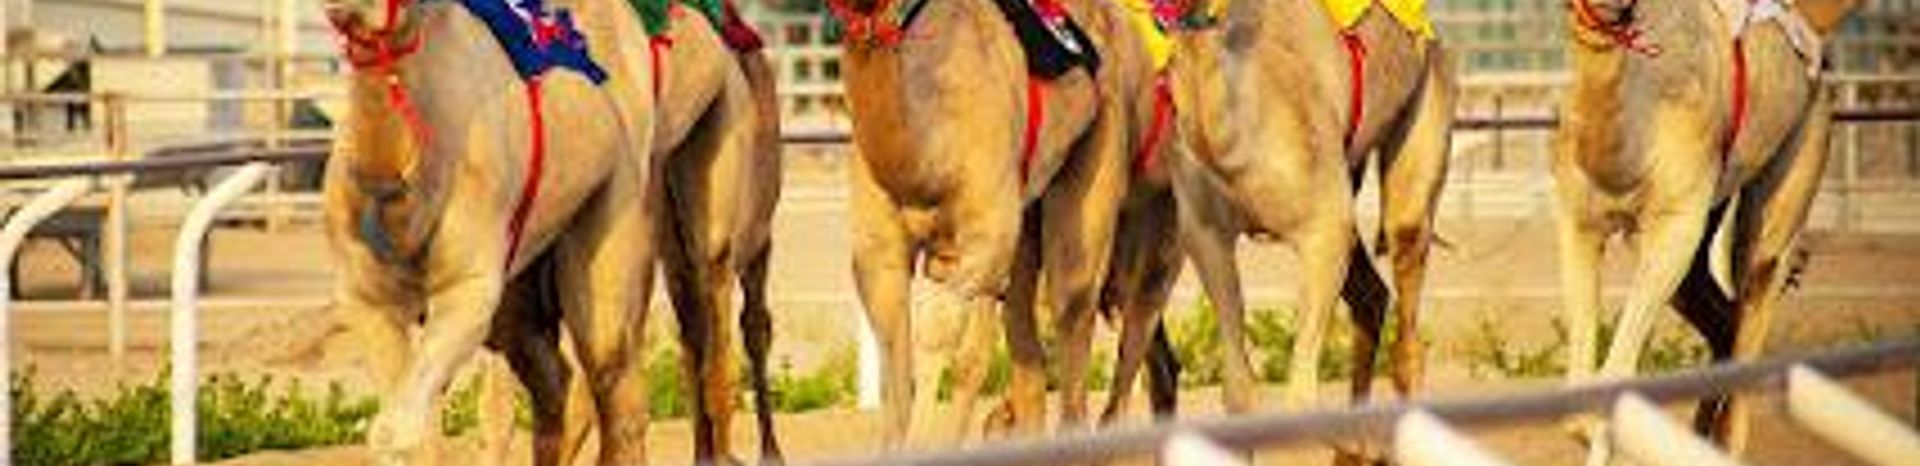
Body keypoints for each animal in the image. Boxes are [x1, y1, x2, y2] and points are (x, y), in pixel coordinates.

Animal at [320, 0, 657, 465]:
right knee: (553, 385)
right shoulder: (366, 302)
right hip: (522, 287)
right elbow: (409, 433)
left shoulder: (469, 289)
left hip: (617, 194)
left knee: (613, 380)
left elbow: (397, 432)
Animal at [831, 0, 1178, 448]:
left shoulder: (988, 237)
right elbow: (898, 356)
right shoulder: (878, 253)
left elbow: (944, 336)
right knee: (1031, 331)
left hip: (1107, 141)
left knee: (1078, 302)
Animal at [1159, 0, 1453, 443]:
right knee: (1371, 296)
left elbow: (1301, 398)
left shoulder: (1323, 228)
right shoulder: (1206, 236)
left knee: (1407, 340)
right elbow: (1239, 392)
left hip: (1423, 111)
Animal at [1555, 0, 1858, 461]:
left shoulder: (1675, 225)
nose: (1616, 9)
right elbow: (1578, 402)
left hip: (1800, 155)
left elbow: (1613, 381)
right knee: (1723, 322)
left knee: (1756, 288)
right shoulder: (1579, 224)